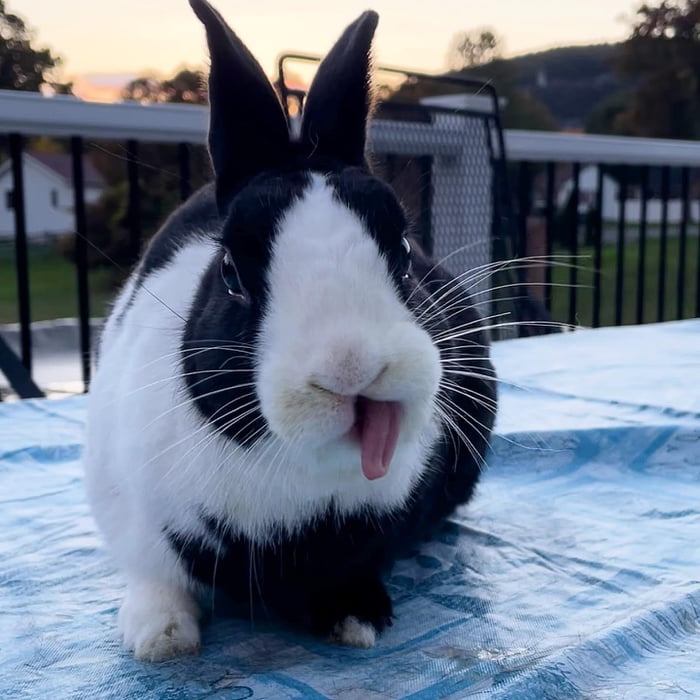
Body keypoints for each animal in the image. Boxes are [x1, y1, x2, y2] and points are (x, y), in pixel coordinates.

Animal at [83, 0, 497, 662]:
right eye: (230, 272)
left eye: (404, 250)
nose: (353, 367)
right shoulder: (131, 516)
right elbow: (156, 578)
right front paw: (160, 638)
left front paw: (357, 620)